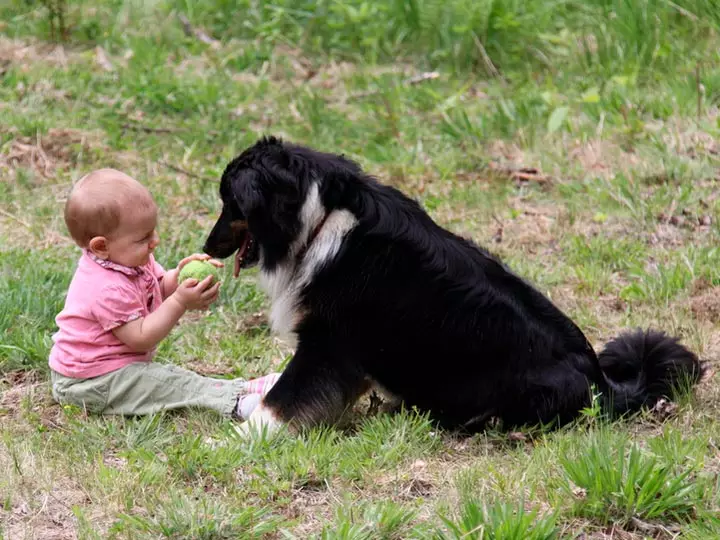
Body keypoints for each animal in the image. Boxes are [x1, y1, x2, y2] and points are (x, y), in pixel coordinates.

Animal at [201, 137, 704, 436]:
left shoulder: (328, 346)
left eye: (229, 203)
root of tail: (603, 382)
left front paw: (238, 438)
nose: (205, 245)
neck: (320, 218)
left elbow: (282, 401)